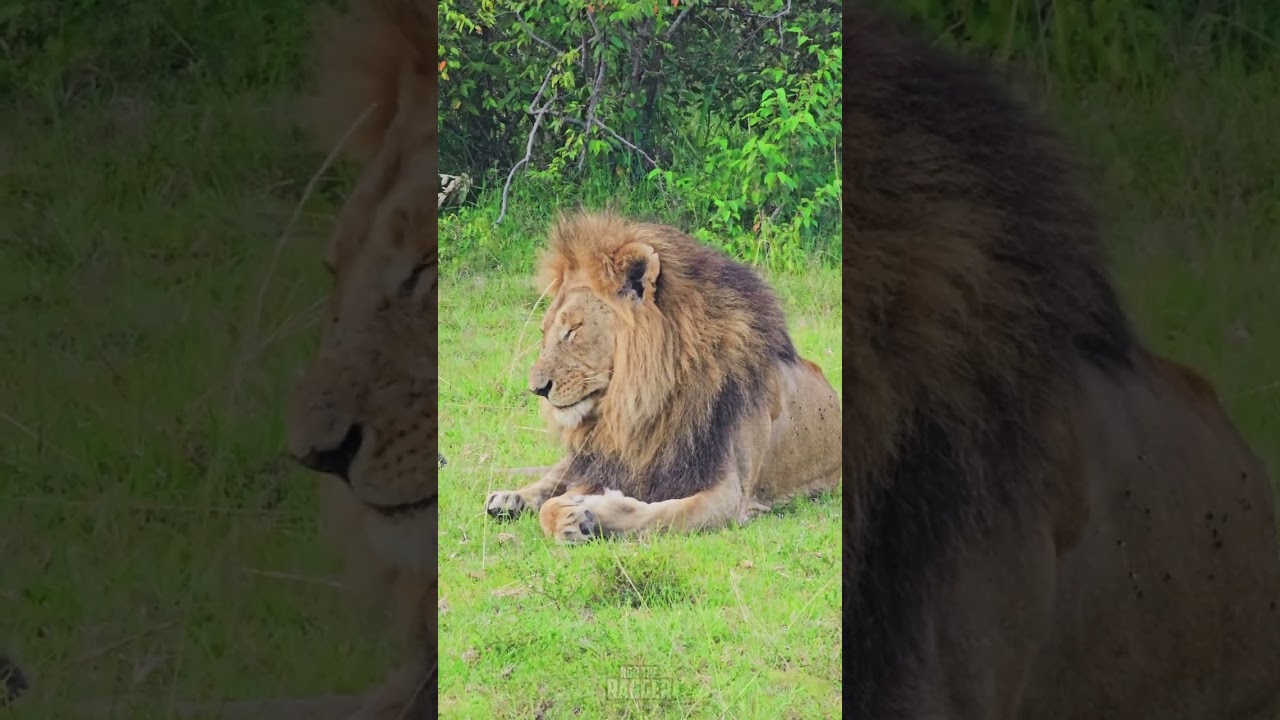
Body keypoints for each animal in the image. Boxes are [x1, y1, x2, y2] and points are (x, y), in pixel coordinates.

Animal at [482, 211, 842, 543]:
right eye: (545, 332)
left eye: (573, 330)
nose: (537, 389)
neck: (652, 405)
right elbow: (554, 501)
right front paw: (570, 514)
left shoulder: (729, 492)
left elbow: (661, 516)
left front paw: (589, 516)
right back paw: (509, 499)